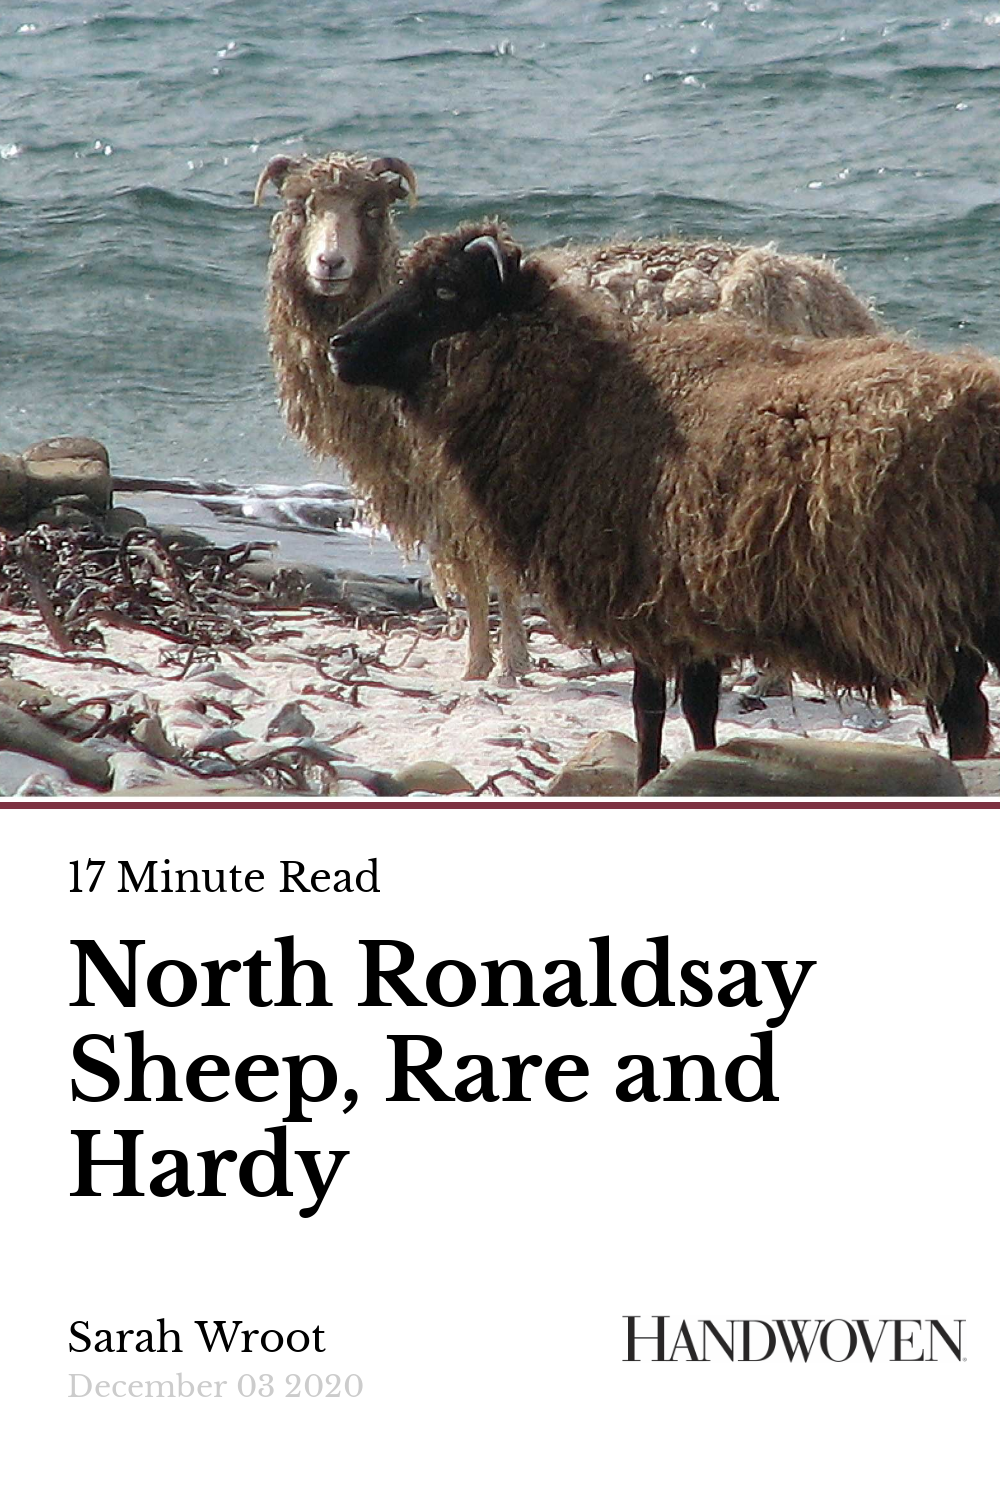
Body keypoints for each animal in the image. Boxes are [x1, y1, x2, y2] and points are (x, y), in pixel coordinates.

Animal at [328, 223, 1000, 786]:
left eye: (445, 290)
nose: (340, 344)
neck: (585, 401)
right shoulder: (689, 606)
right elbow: (699, 710)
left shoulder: (643, 598)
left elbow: (647, 709)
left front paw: (649, 777)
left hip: (925, 601)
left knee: (967, 716)